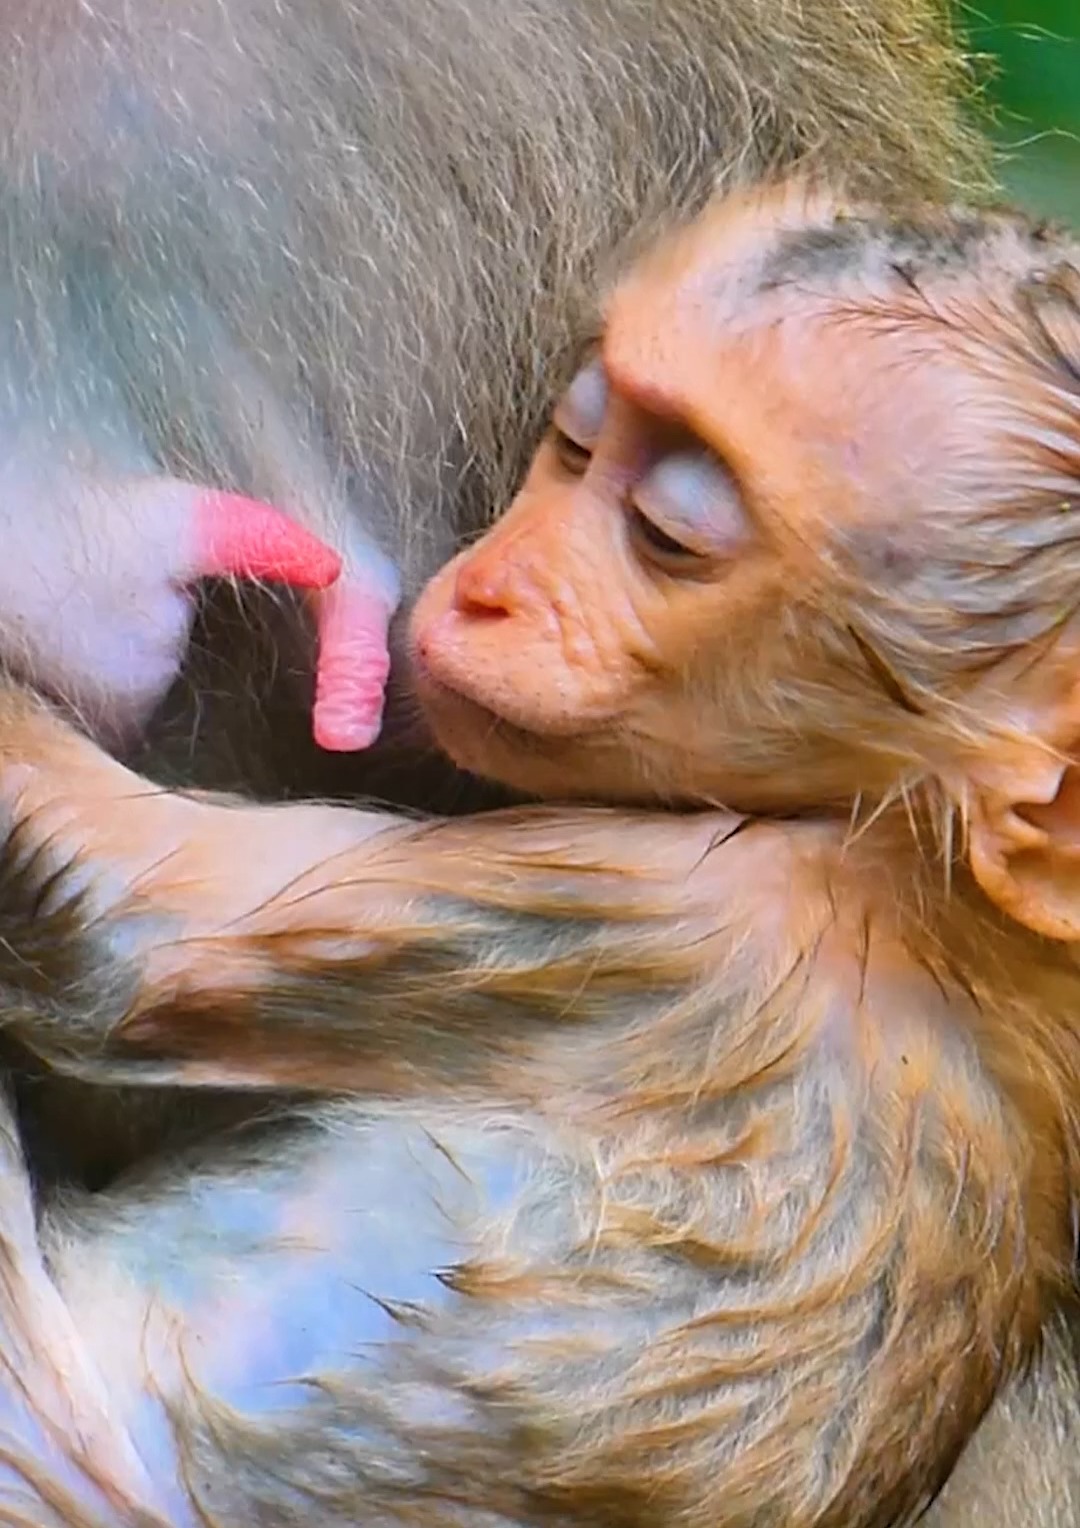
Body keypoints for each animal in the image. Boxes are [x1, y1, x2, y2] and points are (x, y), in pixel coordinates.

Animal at [0, 181, 1078, 1526]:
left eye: (669, 532)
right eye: (576, 443)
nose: (483, 592)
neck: (926, 872)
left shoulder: (685, 907)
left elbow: (117, 932)